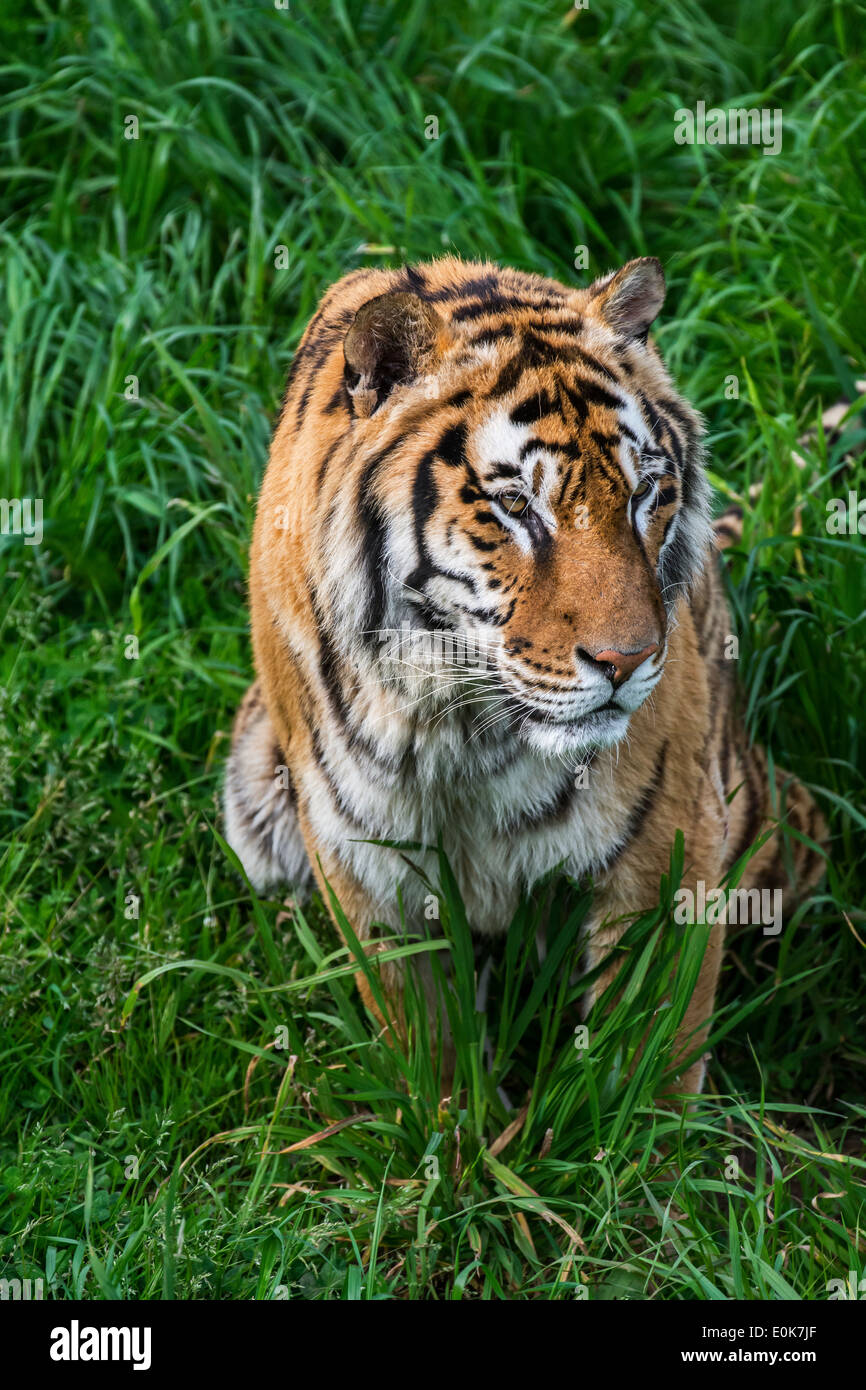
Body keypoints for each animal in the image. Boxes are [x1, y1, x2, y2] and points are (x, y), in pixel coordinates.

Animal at [224, 255, 827, 1094]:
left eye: (645, 492)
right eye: (514, 506)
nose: (629, 660)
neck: (459, 721)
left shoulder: (667, 846)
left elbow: (653, 1055)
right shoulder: (367, 858)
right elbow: (424, 1045)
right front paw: (446, 1122)